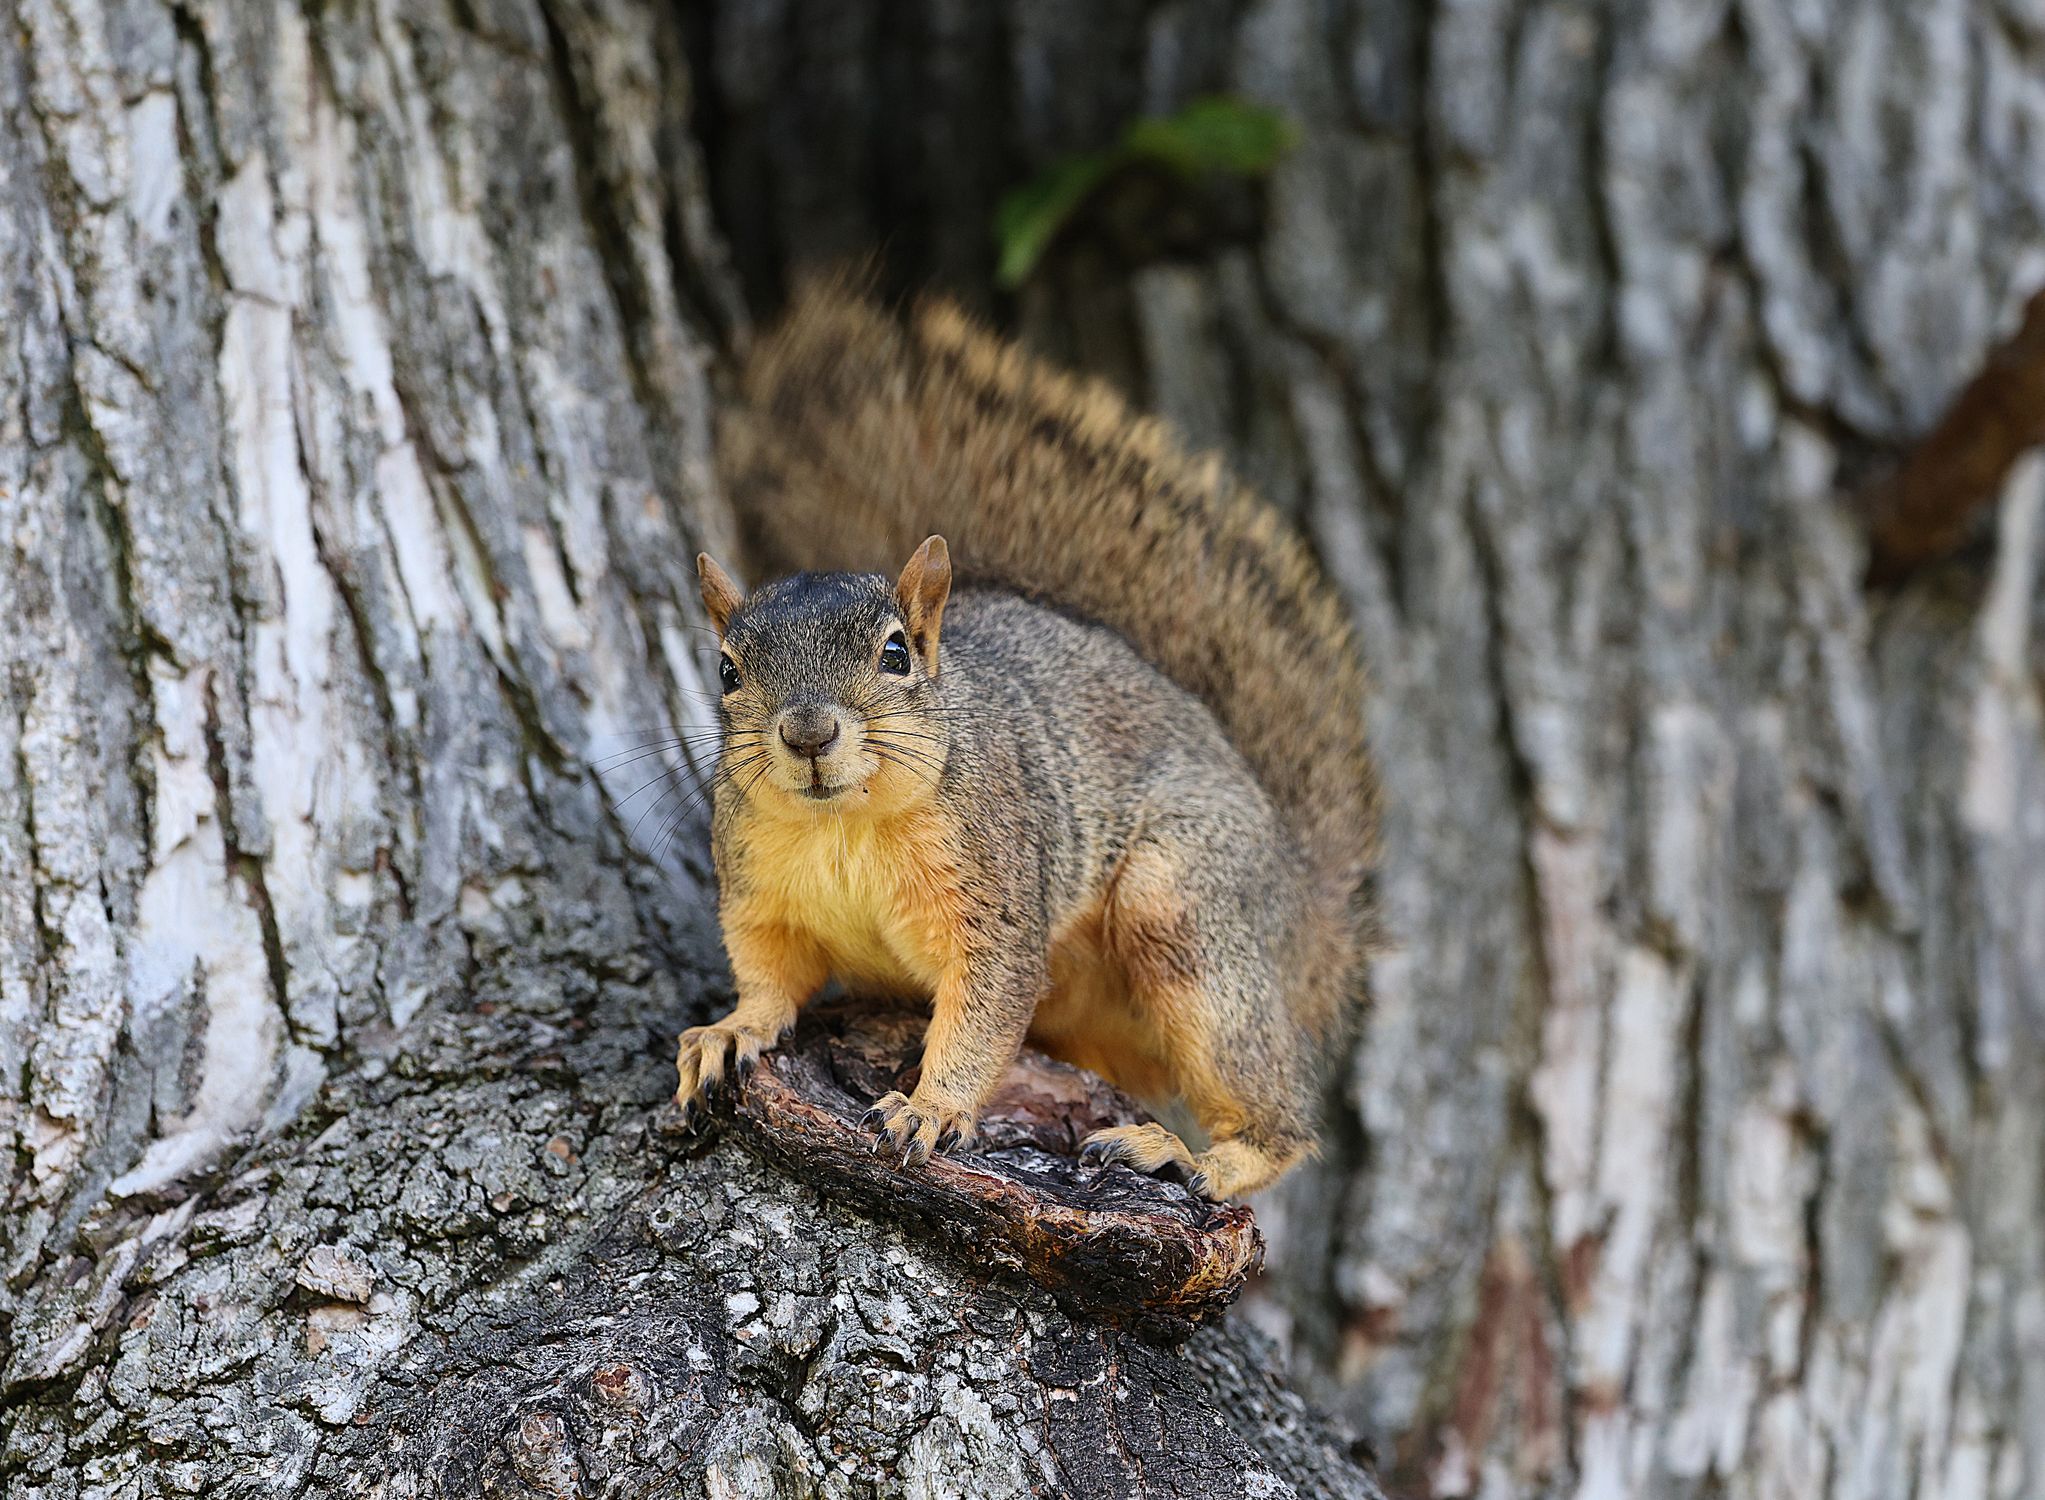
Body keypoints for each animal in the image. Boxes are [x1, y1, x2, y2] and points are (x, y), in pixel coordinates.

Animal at [676, 283, 1377, 1199]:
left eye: (895, 653)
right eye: (726, 669)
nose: (807, 732)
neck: (843, 827)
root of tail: (1300, 903)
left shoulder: (998, 893)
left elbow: (985, 1007)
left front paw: (931, 1107)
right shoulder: (757, 891)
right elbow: (768, 977)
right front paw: (730, 1029)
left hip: (1183, 898)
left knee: (1278, 1113)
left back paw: (1195, 1156)